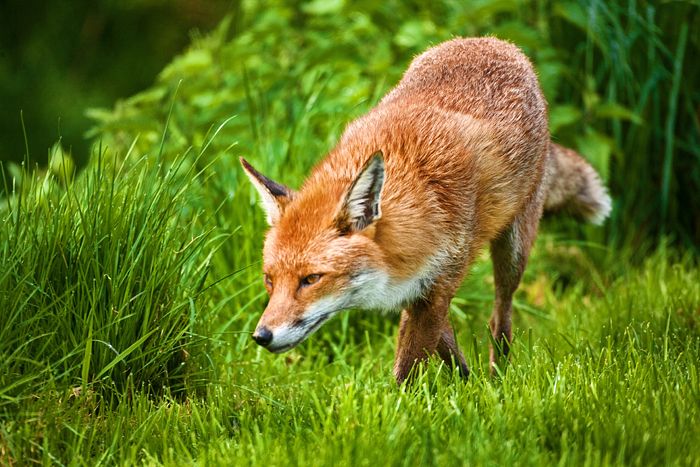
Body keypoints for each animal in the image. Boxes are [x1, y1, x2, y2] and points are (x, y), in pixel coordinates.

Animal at [240, 37, 611, 384]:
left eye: (311, 279)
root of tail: (494, 42)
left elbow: (408, 369)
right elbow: (443, 345)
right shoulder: (416, 289)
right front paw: (467, 385)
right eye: (269, 280)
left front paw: (401, 408)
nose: (262, 336)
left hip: (514, 250)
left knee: (500, 318)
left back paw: (498, 377)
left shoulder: (438, 283)